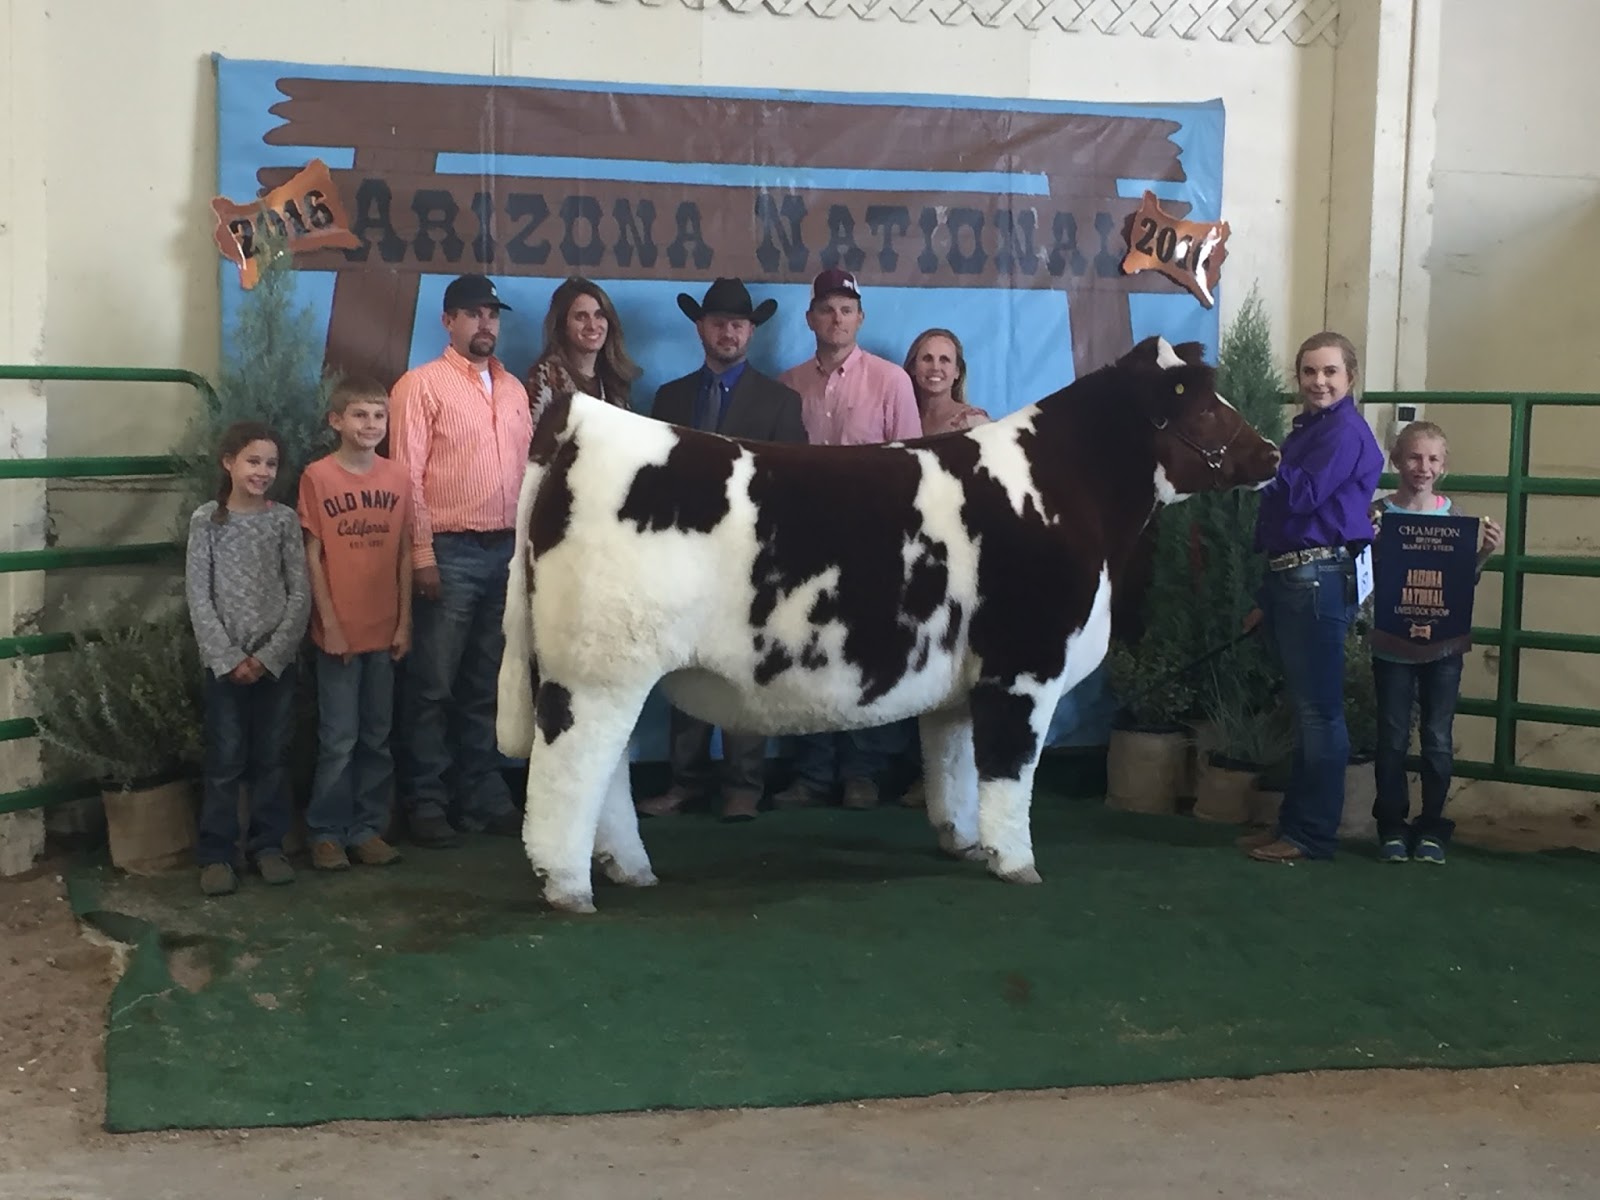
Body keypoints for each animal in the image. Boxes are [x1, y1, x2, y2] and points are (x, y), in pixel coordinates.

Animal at [497, 336, 1280, 912]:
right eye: (1205, 410)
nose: (1271, 453)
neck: (1058, 491)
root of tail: (579, 419)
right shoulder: (1023, 671)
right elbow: (1009, 773)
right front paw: (1016, 862)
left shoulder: (965, 685)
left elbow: (955, 769)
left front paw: (965, 843)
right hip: (596, 672)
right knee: (568, 776)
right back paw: (569, 888)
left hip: (609, 673)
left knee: (606, 779)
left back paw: (627, 869)